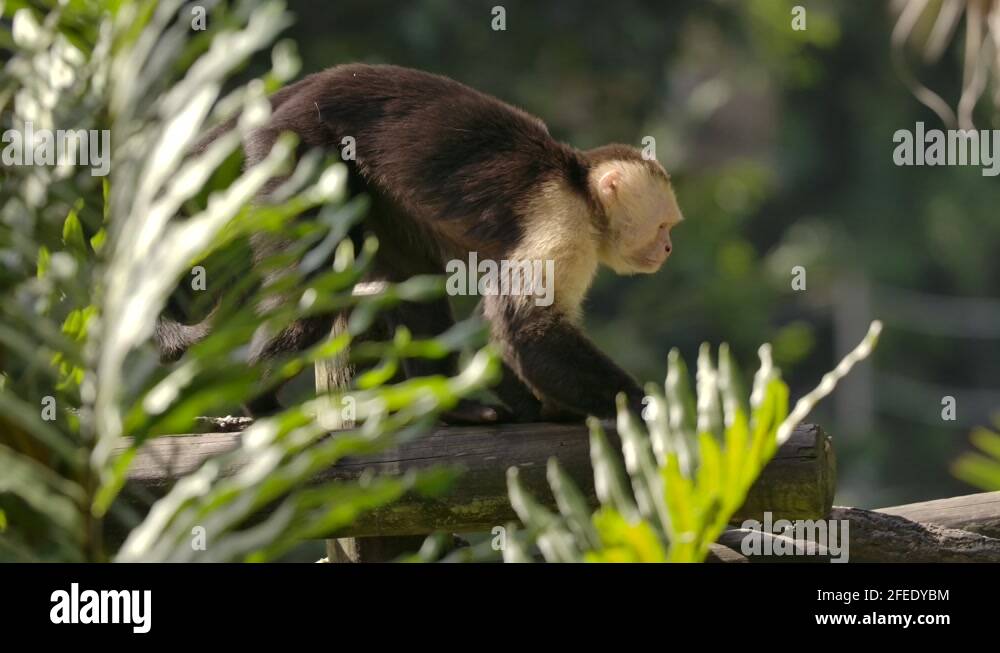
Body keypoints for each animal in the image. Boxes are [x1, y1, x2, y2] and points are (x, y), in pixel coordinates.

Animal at [157, 63, 684, 422]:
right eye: (664, 227)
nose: (668, 250)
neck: (576, 184)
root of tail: (299, 93)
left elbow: (499, 326)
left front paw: (536, 405)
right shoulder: (562, 217)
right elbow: (528, 328)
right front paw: (642, 408)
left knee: (414, 277)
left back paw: (455, 406)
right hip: (295, 151)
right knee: (313, 285)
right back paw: (261, 401)